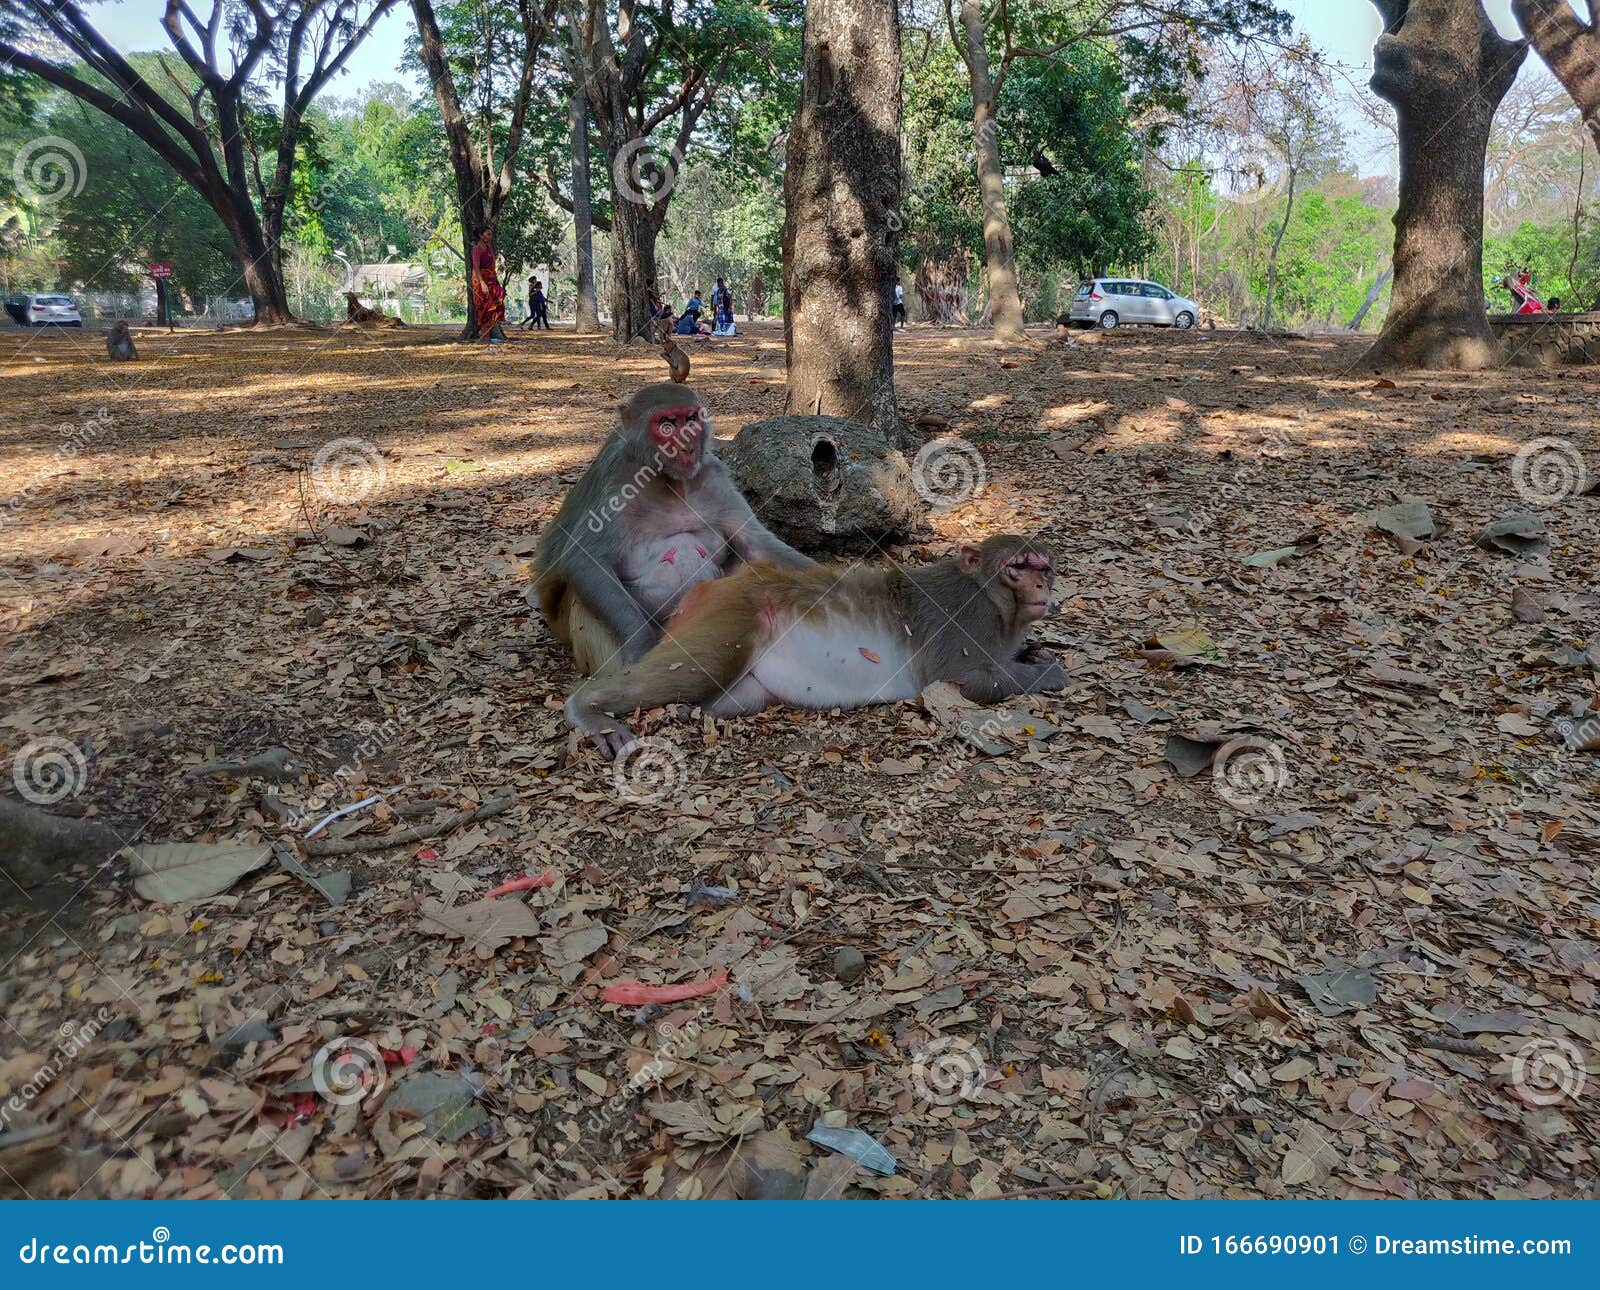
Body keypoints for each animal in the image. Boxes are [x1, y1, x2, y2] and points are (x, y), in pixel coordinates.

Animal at [535, 383, 812, 677]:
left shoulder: (714, 476)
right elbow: (584, 560)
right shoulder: (618, 478)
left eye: (690, 420)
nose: (687, 446)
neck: (669, 481)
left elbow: (757, 546)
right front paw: (640, 647)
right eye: (666, 424)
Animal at [565, 534, 1067, 756]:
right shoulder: (964, 618)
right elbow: (964, 682)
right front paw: (1047, 671)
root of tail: (712, 587)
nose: (1042, 586)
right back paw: (587, 707)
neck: (996, 603)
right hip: (734, 616)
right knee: (697, 668)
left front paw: (1034, 652)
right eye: (1018, 567)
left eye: (1044, 567)